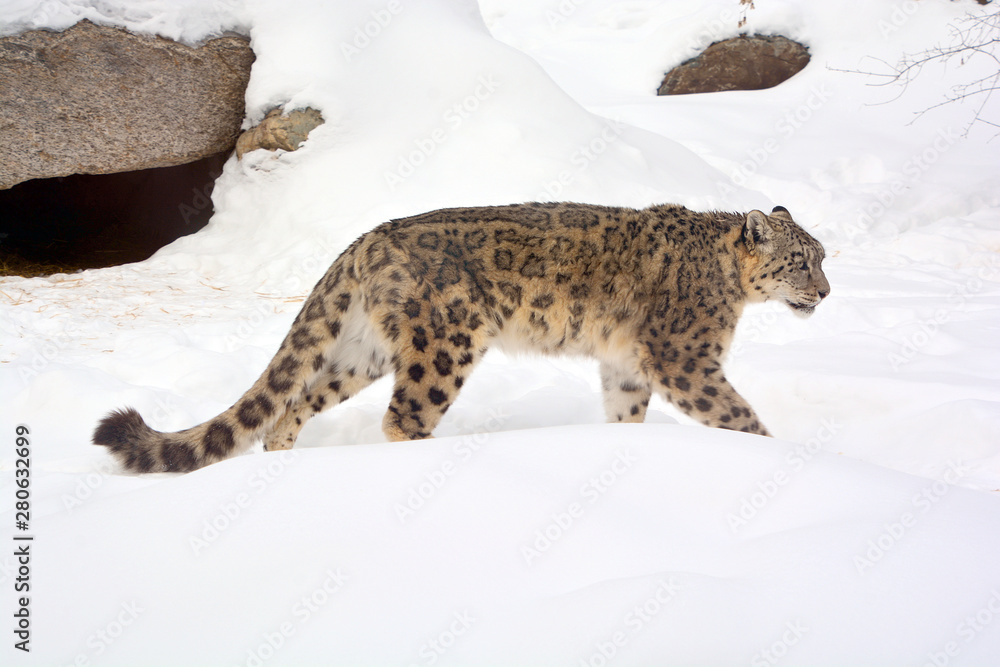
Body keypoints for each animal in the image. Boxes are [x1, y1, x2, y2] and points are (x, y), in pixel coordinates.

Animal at [93, 202, 829, 473]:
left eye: (824, 257)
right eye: (801, 260)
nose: (825, 293)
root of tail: (366, 240)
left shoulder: (625, 365)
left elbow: (626, 413)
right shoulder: (685, 358)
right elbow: (736, 413)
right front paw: (780, 452)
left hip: (361, 351)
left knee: (294, 399)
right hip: (446, 341)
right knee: (404, 415)